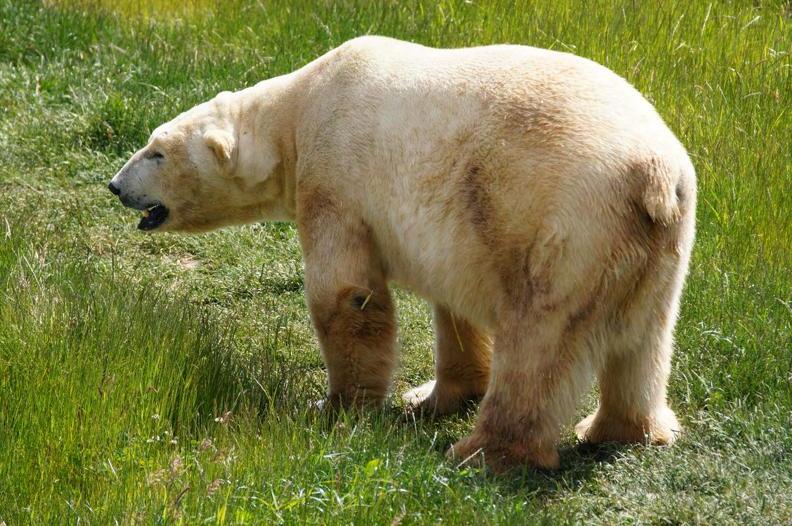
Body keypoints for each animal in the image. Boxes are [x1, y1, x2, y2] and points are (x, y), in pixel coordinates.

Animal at [108, 36, 696, 472]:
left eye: (156, 152)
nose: (115, 186)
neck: (298, 109)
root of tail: (652, 173)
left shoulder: (336, 174)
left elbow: (346, 293)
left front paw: (335, 407)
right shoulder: (460, 227)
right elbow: (453, 304)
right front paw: (434, 396)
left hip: (565, 228)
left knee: (538, 342)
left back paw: (482, 453)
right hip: (656, 245)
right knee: (645, 344)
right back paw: (622, 430)